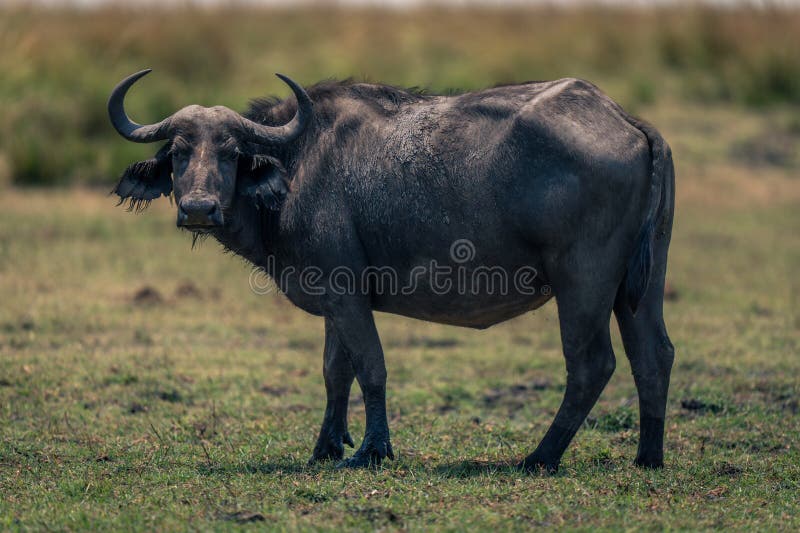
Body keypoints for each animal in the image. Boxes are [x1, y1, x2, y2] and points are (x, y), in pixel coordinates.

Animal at [108, 69, 675, 471]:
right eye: (179, 153)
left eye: (230, 153)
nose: (199, 209)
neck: (299, 164)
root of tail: (623, 118)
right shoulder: (334, 298)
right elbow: (335, 372)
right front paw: (326, 447)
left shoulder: (346, 293)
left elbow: (371, 368)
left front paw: (373, 449)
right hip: (639, 288)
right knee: (654, 355)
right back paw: (648, 456)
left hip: (583, 284)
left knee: (592, 364)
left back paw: (540, 457)